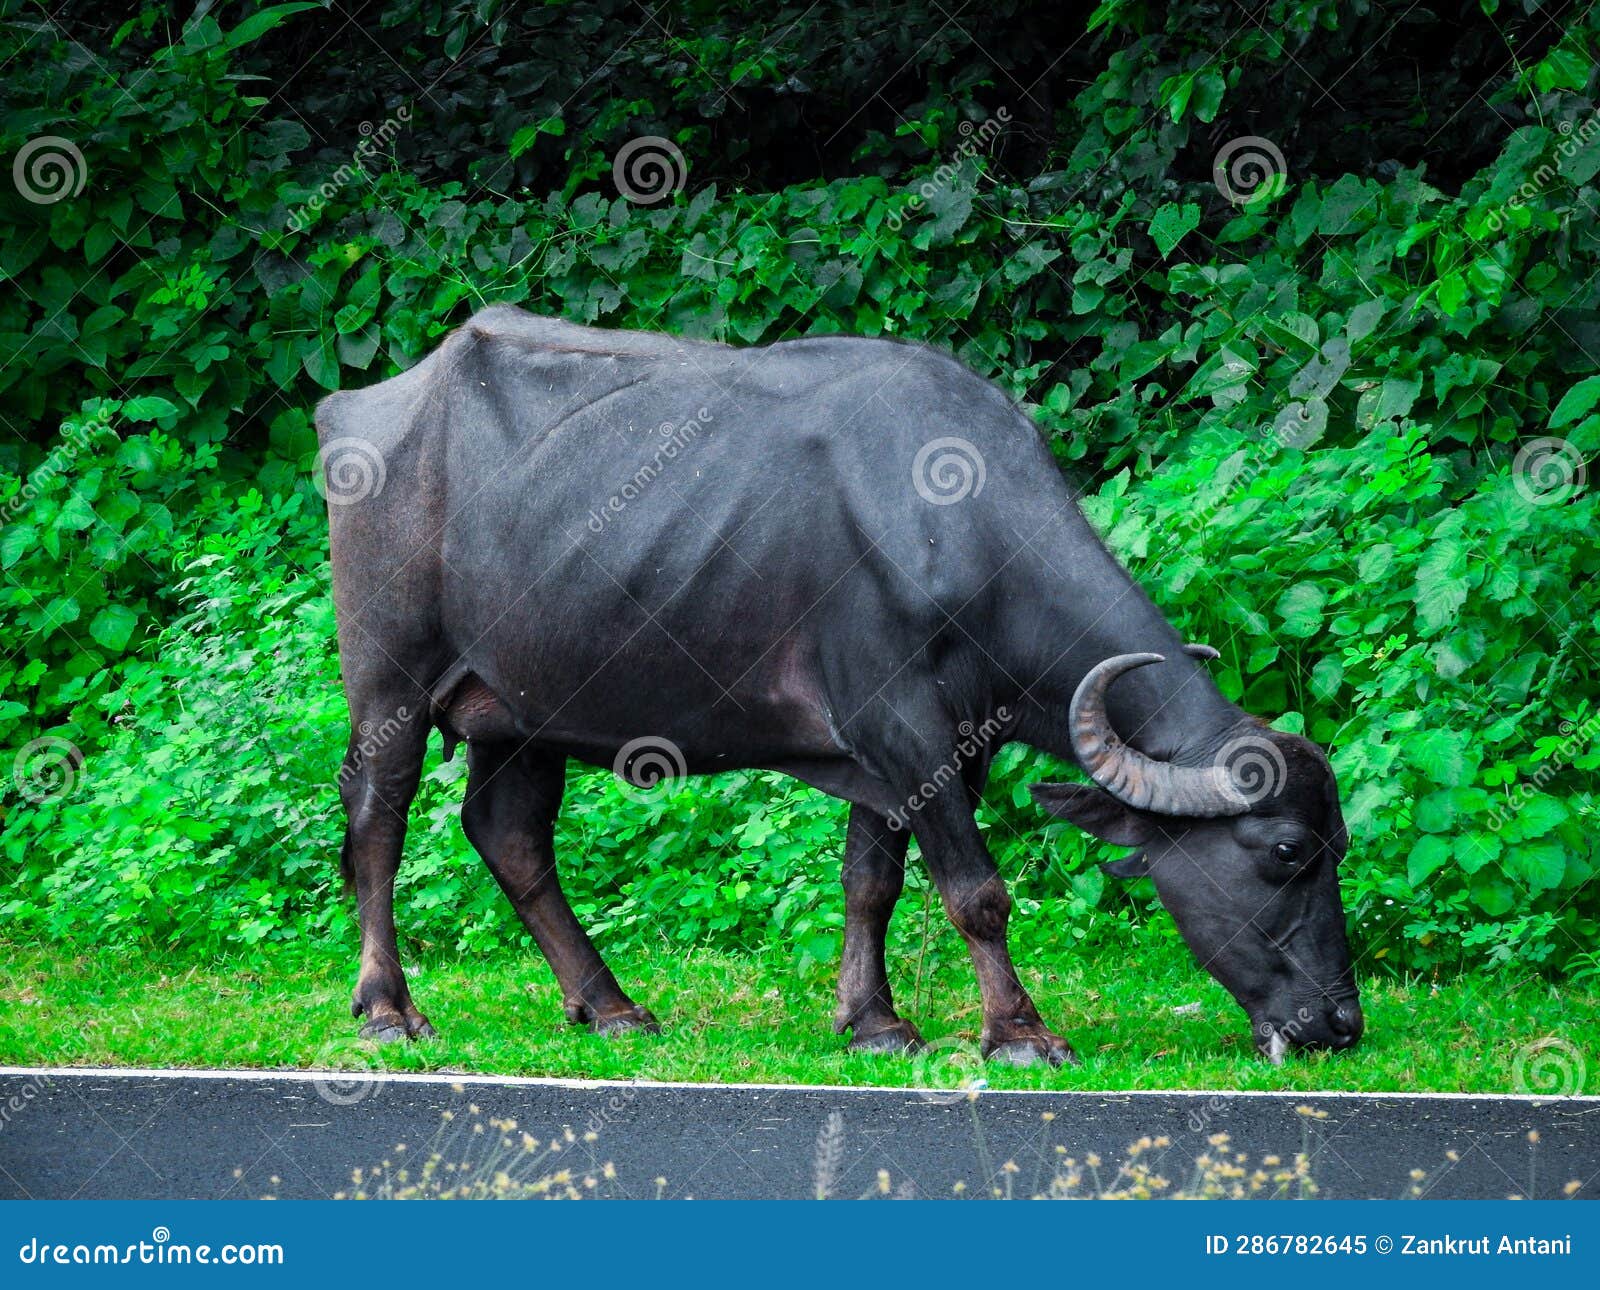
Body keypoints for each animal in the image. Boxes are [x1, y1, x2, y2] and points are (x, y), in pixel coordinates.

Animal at [315, 306, 1361, 1066]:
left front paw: (876, 1023)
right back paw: (389, 1009)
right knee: (377, 818)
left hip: (521, 712)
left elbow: (873, 880)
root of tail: (362, 412)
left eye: (1339, 848)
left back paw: (610, 1006)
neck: (955, 525)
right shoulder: (899, 721)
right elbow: (975, 889)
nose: (1340, 1026)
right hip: (391, 678)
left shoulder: (933, 746)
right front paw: (1019, 1033)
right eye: (1285, 851)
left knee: (510, 836)